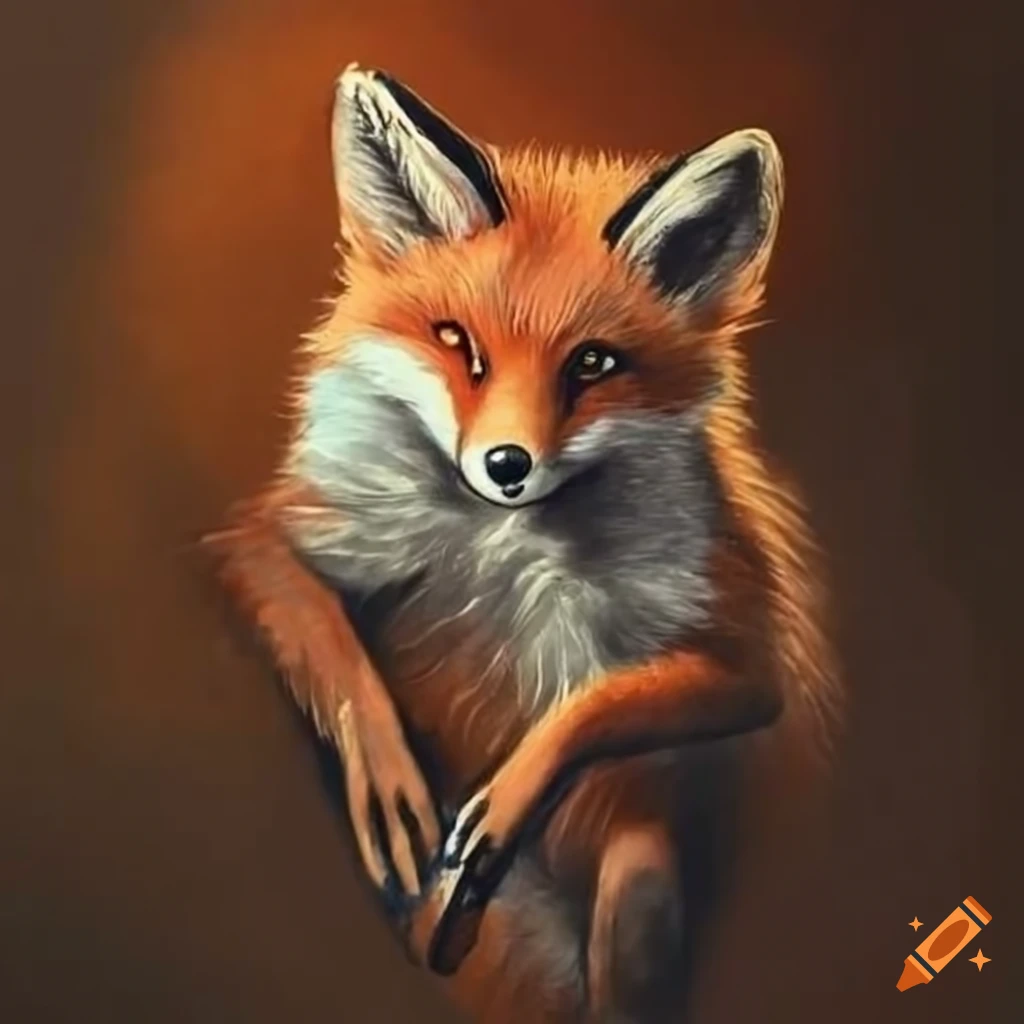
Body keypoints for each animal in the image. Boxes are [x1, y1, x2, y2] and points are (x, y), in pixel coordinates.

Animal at [204, 64, 838, 1024]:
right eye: (457, 342)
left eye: (592, 364)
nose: (507, 465)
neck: (502, 547)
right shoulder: (276, 536)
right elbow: (331, 647)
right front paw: (391, 789)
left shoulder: (746, 657)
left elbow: (590, 708)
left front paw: (498, 810)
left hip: (637, 878)